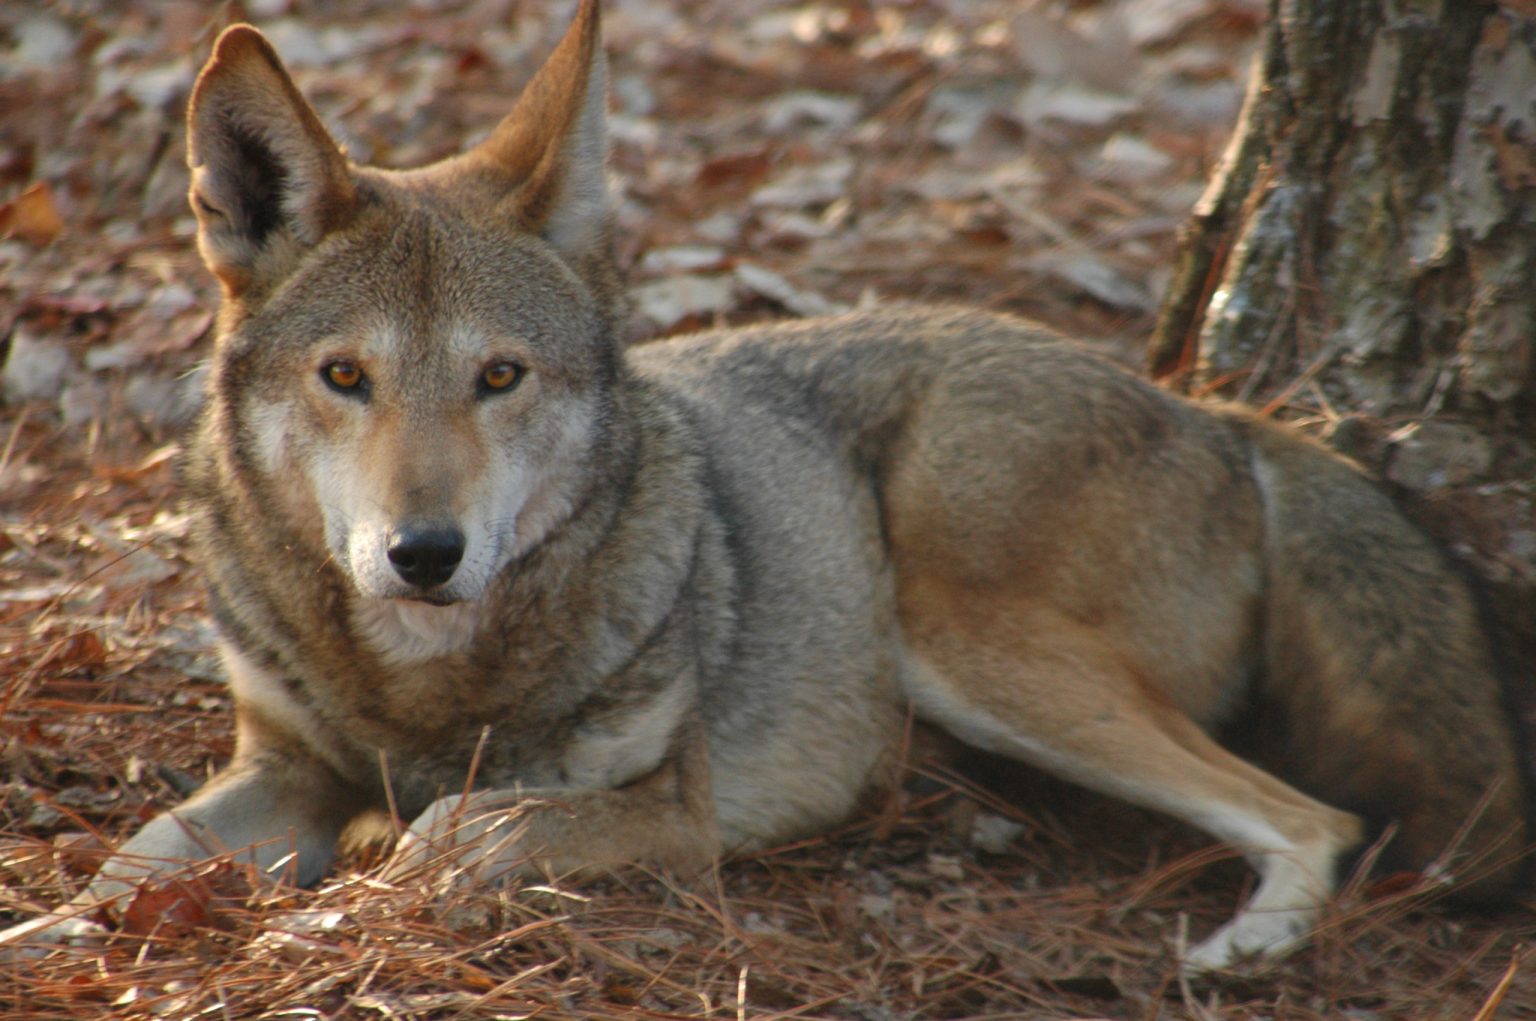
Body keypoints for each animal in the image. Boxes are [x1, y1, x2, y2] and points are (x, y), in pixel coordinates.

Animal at [2, 0, 1527, 972]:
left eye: (499, 378)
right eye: (345, 377)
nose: (422, 551)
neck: (419, 684)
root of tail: (1217, 412)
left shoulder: (666, 813)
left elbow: (460, 825)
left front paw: (371, 894)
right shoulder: (279, 769)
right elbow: (129, 863)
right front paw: (57, 936)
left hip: (976, 649)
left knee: (1316, 820)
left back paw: (1241, 951)